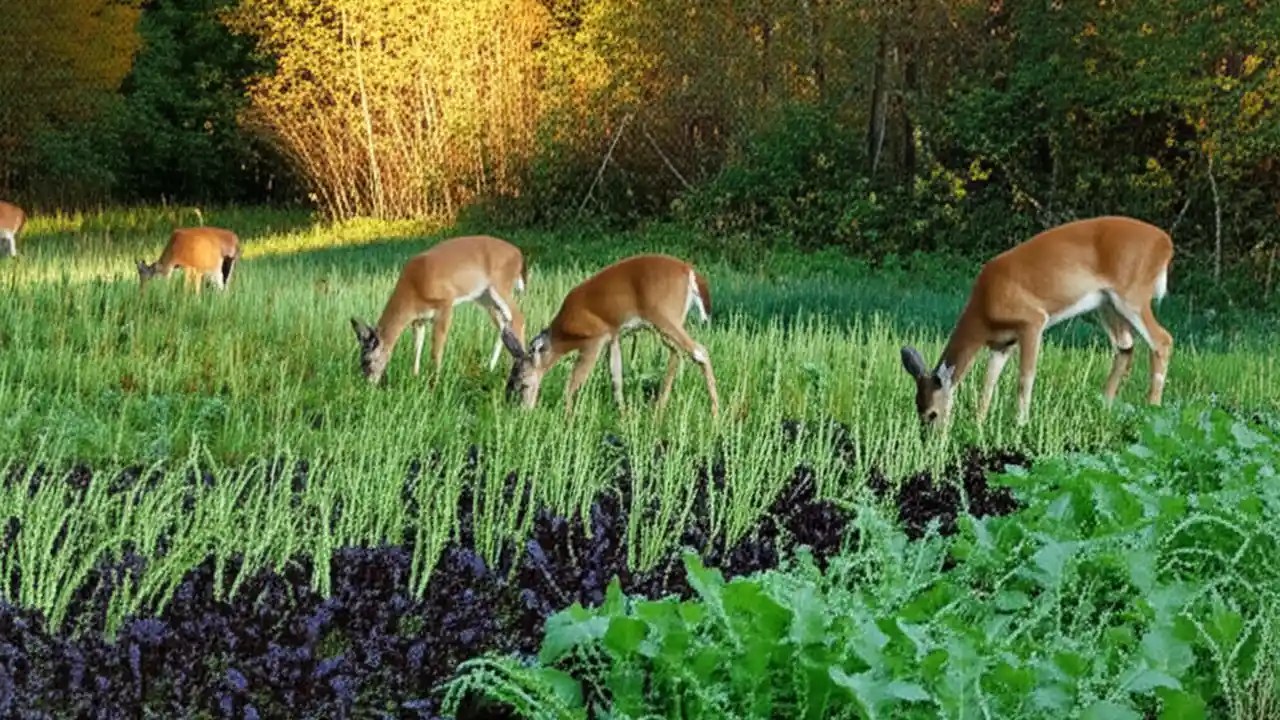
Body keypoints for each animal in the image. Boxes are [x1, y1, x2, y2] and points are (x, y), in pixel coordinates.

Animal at [350, 234, 527, 384]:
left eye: (367, 360)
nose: (368, 383)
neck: (413, 289)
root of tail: (519, 254)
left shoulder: (445, 303)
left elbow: (436, 349)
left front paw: (434, 382)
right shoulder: (418, 319)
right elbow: (417, 347)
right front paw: (415, 376)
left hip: (501, 285)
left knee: (518, 318)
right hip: (485, 297)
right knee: (505, 322)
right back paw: (491, 368)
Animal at [500, 253, 720, 417]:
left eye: (523, 384)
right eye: (509, 383)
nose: (522, 411)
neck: (564, 333)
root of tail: (689, 271)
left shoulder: (595, 338)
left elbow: (574, 380)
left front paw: (567, 416)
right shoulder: (613, 336)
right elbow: (616, 377)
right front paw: (622, 414)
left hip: (665, 316)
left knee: (699, 351)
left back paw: (715, 413)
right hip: (664, 324)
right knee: (678, 353)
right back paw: (659, 408)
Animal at [900, 215, 1174, 428]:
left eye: (932, 414)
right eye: (918, 411)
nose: (928, 439)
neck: (984, 309)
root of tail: (1166, 243)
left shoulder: (1032, 321)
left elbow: (1025, 377)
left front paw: (1020, 423)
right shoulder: (1002, 344)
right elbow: (988, 381)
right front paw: (979, 421)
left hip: (1133, 294)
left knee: (1162, 340)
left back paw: (1152, 411)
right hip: (1107, 304)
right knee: (1125, 346)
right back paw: (1104, 405)